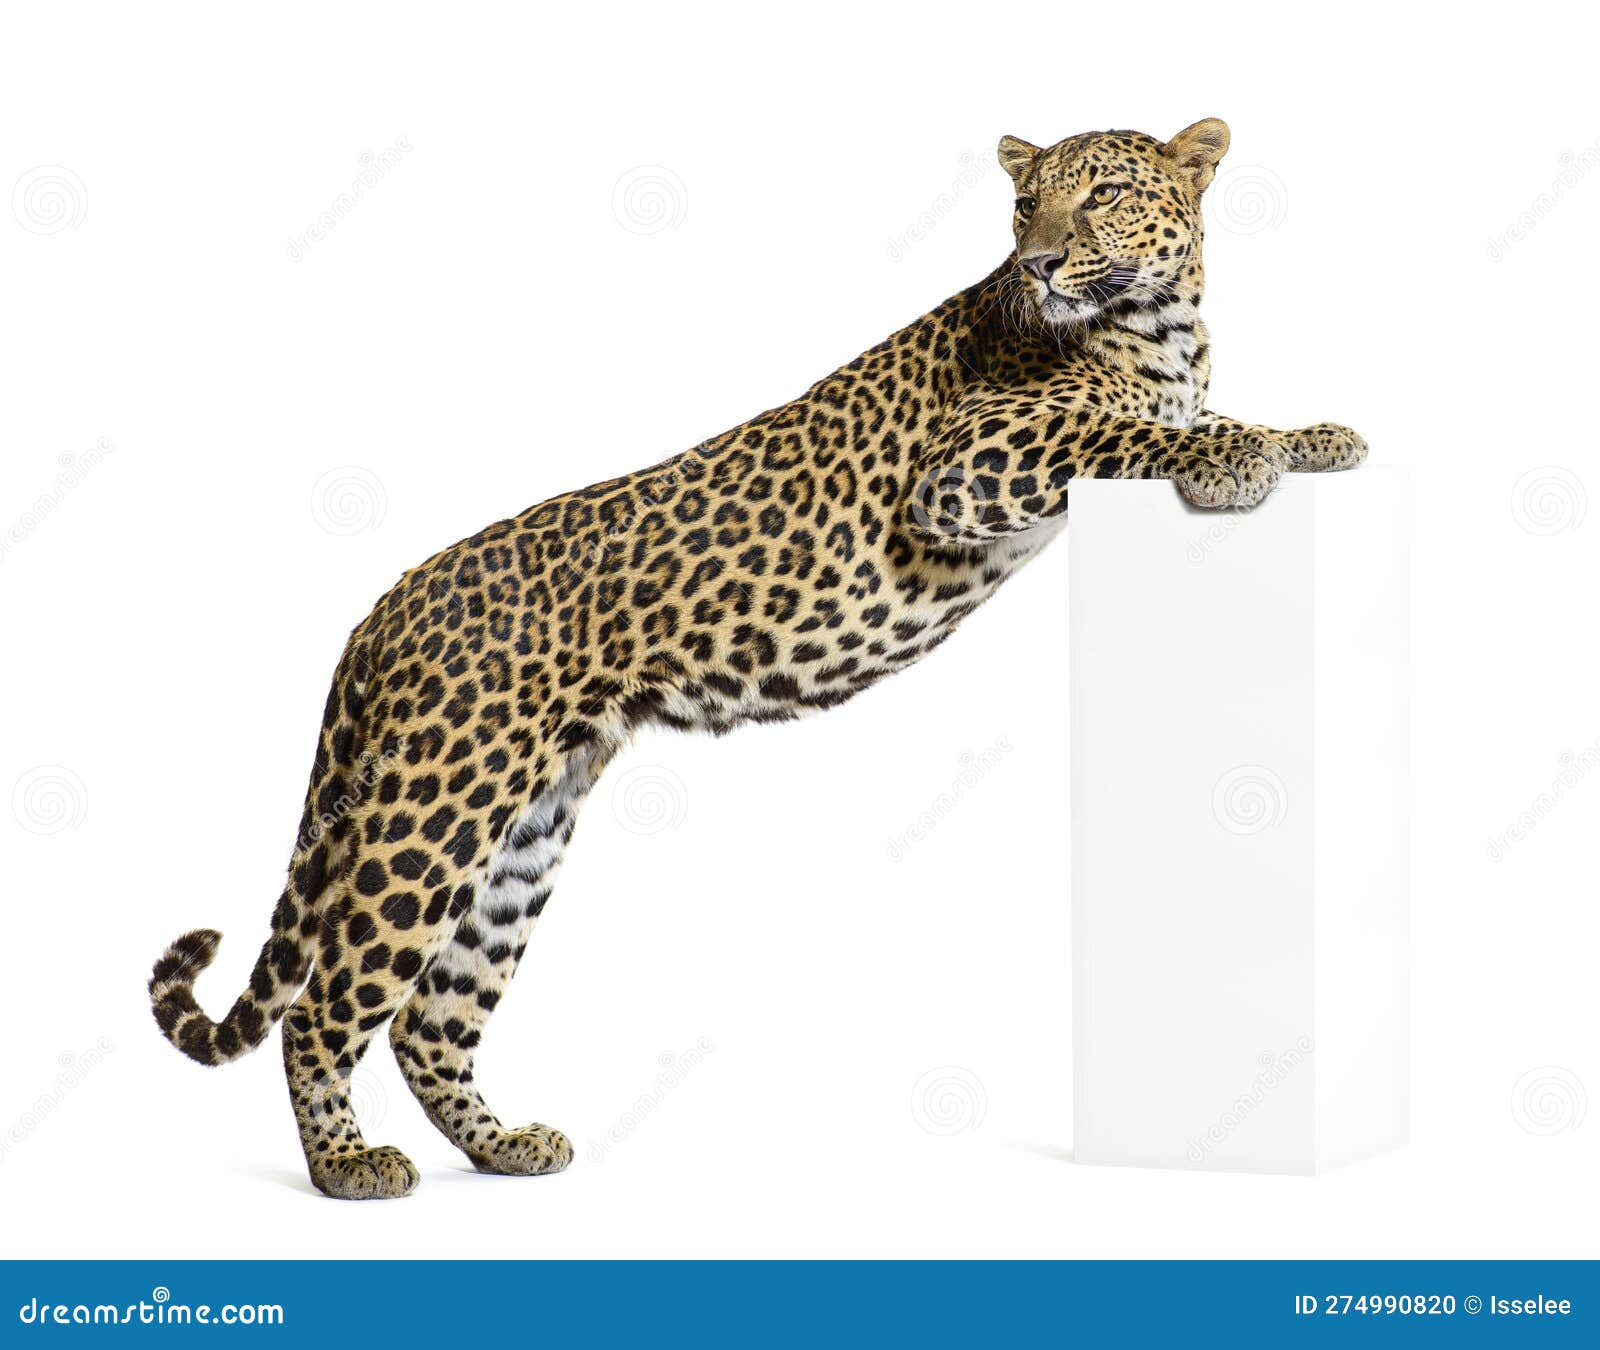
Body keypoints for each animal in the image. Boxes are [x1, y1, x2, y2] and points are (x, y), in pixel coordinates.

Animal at [149, 118, 1367, 1199]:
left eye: (1103, 194)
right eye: (1026, 205)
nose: (1041, 261)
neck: (1166, 322)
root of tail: (384, 606)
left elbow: (1210, 418)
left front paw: (1319, 436)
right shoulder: (968, 462)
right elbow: (1132, 429)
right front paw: (1237, 455)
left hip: (524, 831)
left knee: (430, 1018)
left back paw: (503, 1148)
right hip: (433, 812)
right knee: (326, 1008)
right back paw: (347, 1169)